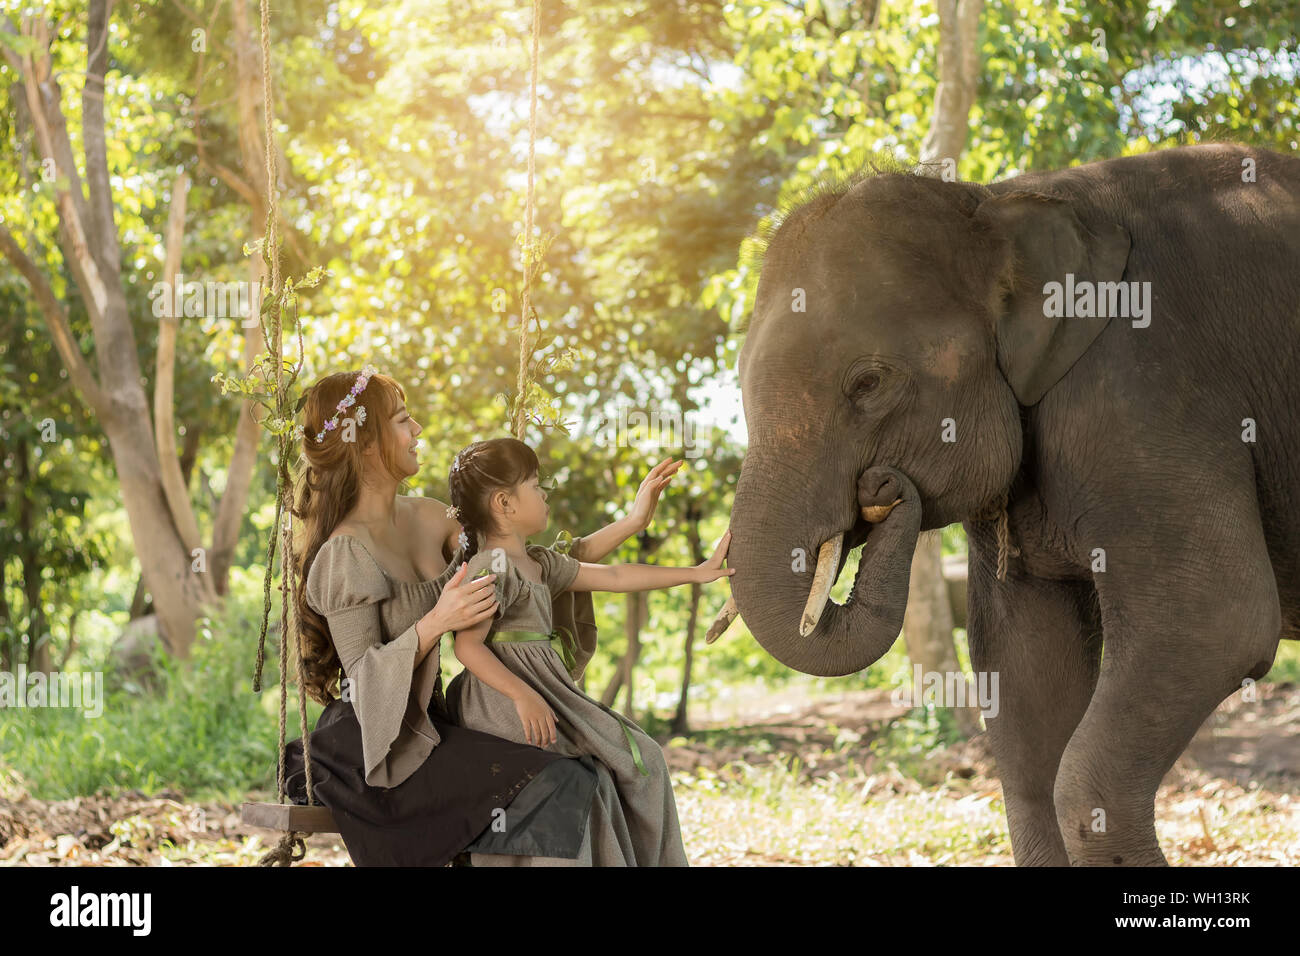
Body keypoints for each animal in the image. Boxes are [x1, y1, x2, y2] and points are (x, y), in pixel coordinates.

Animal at [727, 143, 1299, 866]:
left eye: (868, 383)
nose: (883, 487)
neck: (992, 203)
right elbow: (1023, 677)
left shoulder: (1149, 388)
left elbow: (1216, 621)